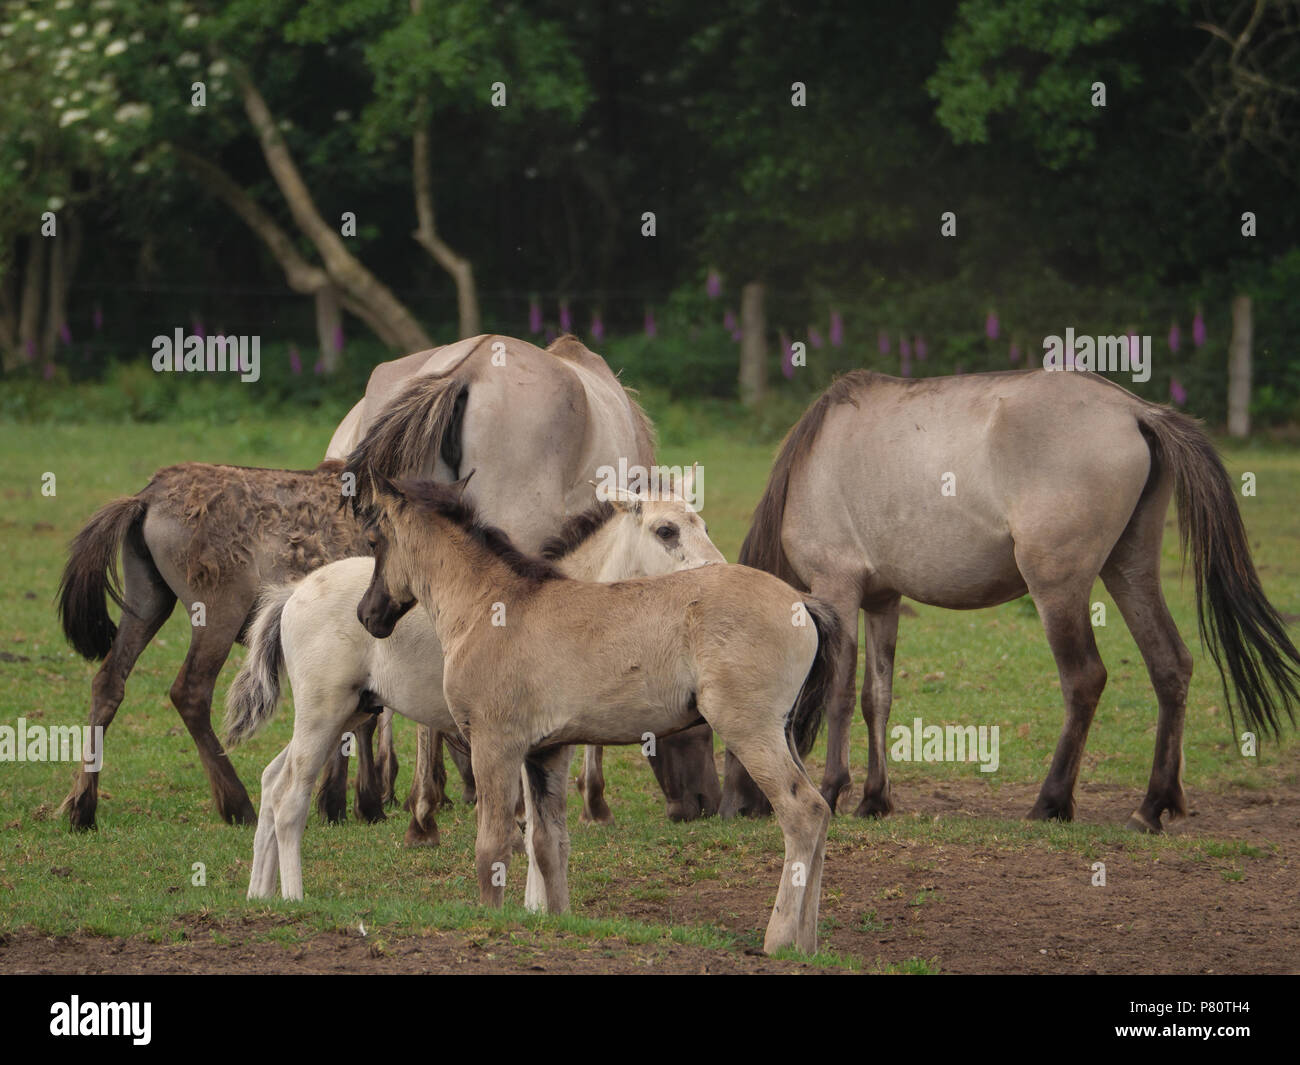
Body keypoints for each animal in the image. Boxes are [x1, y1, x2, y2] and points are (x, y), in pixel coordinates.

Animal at [56, 460, 379, 829]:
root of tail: (146, 497)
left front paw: (338, 803)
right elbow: (367, 719)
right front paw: (365, 803)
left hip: (147, 602)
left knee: (109, 681)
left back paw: (83, 808)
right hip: (218, 615)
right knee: (189, 692)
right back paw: (238, 804)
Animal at [226, 486, 723, 898]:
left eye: (702, 524)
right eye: (666, 530)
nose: (717, 573)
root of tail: (293, 592)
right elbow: (529, 828)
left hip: (349, 713)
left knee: (272, 780)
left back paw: (259, 895)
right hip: (322, 713)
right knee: (290, 797)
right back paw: (293, 898)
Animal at [722, 368, 1300, 832]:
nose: (729, 808)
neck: (816, 461)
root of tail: (1136, 411)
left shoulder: (837, 588)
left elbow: (839, 695)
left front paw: (833, 789)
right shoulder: (882, 601)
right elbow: (875, 698)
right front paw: (874, 799)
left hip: (1058, 587)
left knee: (1084, 679)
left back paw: (1051, 802)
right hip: (1130, 570)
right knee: (1170, 665)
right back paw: (1152, 805)